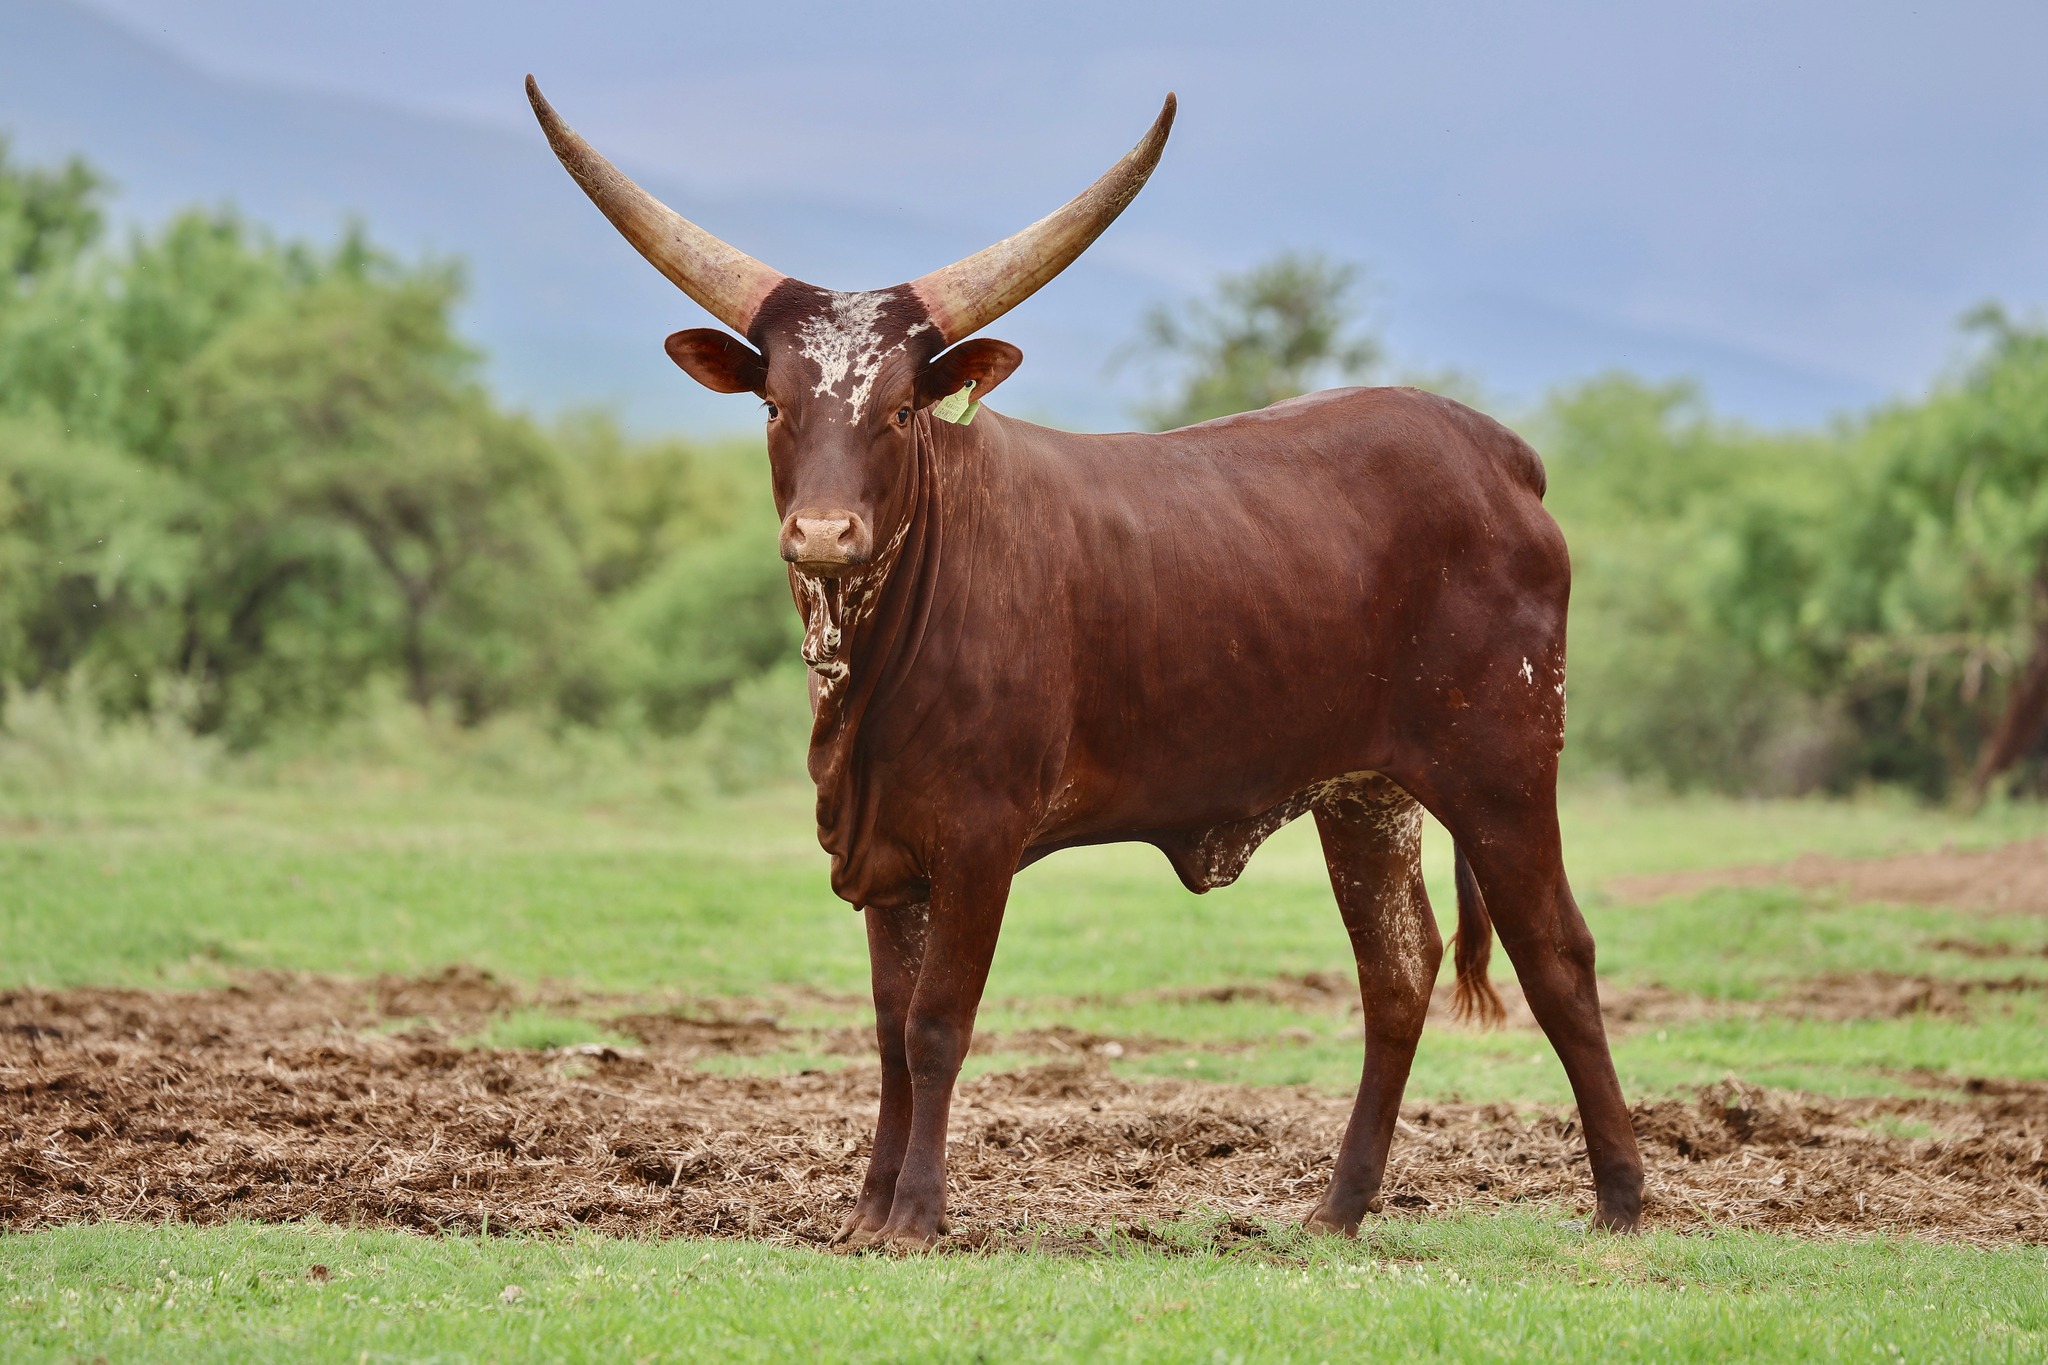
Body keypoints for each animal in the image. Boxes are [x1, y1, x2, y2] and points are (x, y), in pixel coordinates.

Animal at [526, 76, 1644, 1249]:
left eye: (899, 408)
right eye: (777, 406)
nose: (824, 534)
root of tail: (1498, 454)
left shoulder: (978, 838)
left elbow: (936, 1024)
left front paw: (917, 1216)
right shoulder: (889, 852)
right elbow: (886, 1029)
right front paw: (867, 1213)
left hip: (1502, 764)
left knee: (1557, 953)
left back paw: (1620, 1199)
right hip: (1365, 793)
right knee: (1397, 970)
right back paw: (1335, 1210)